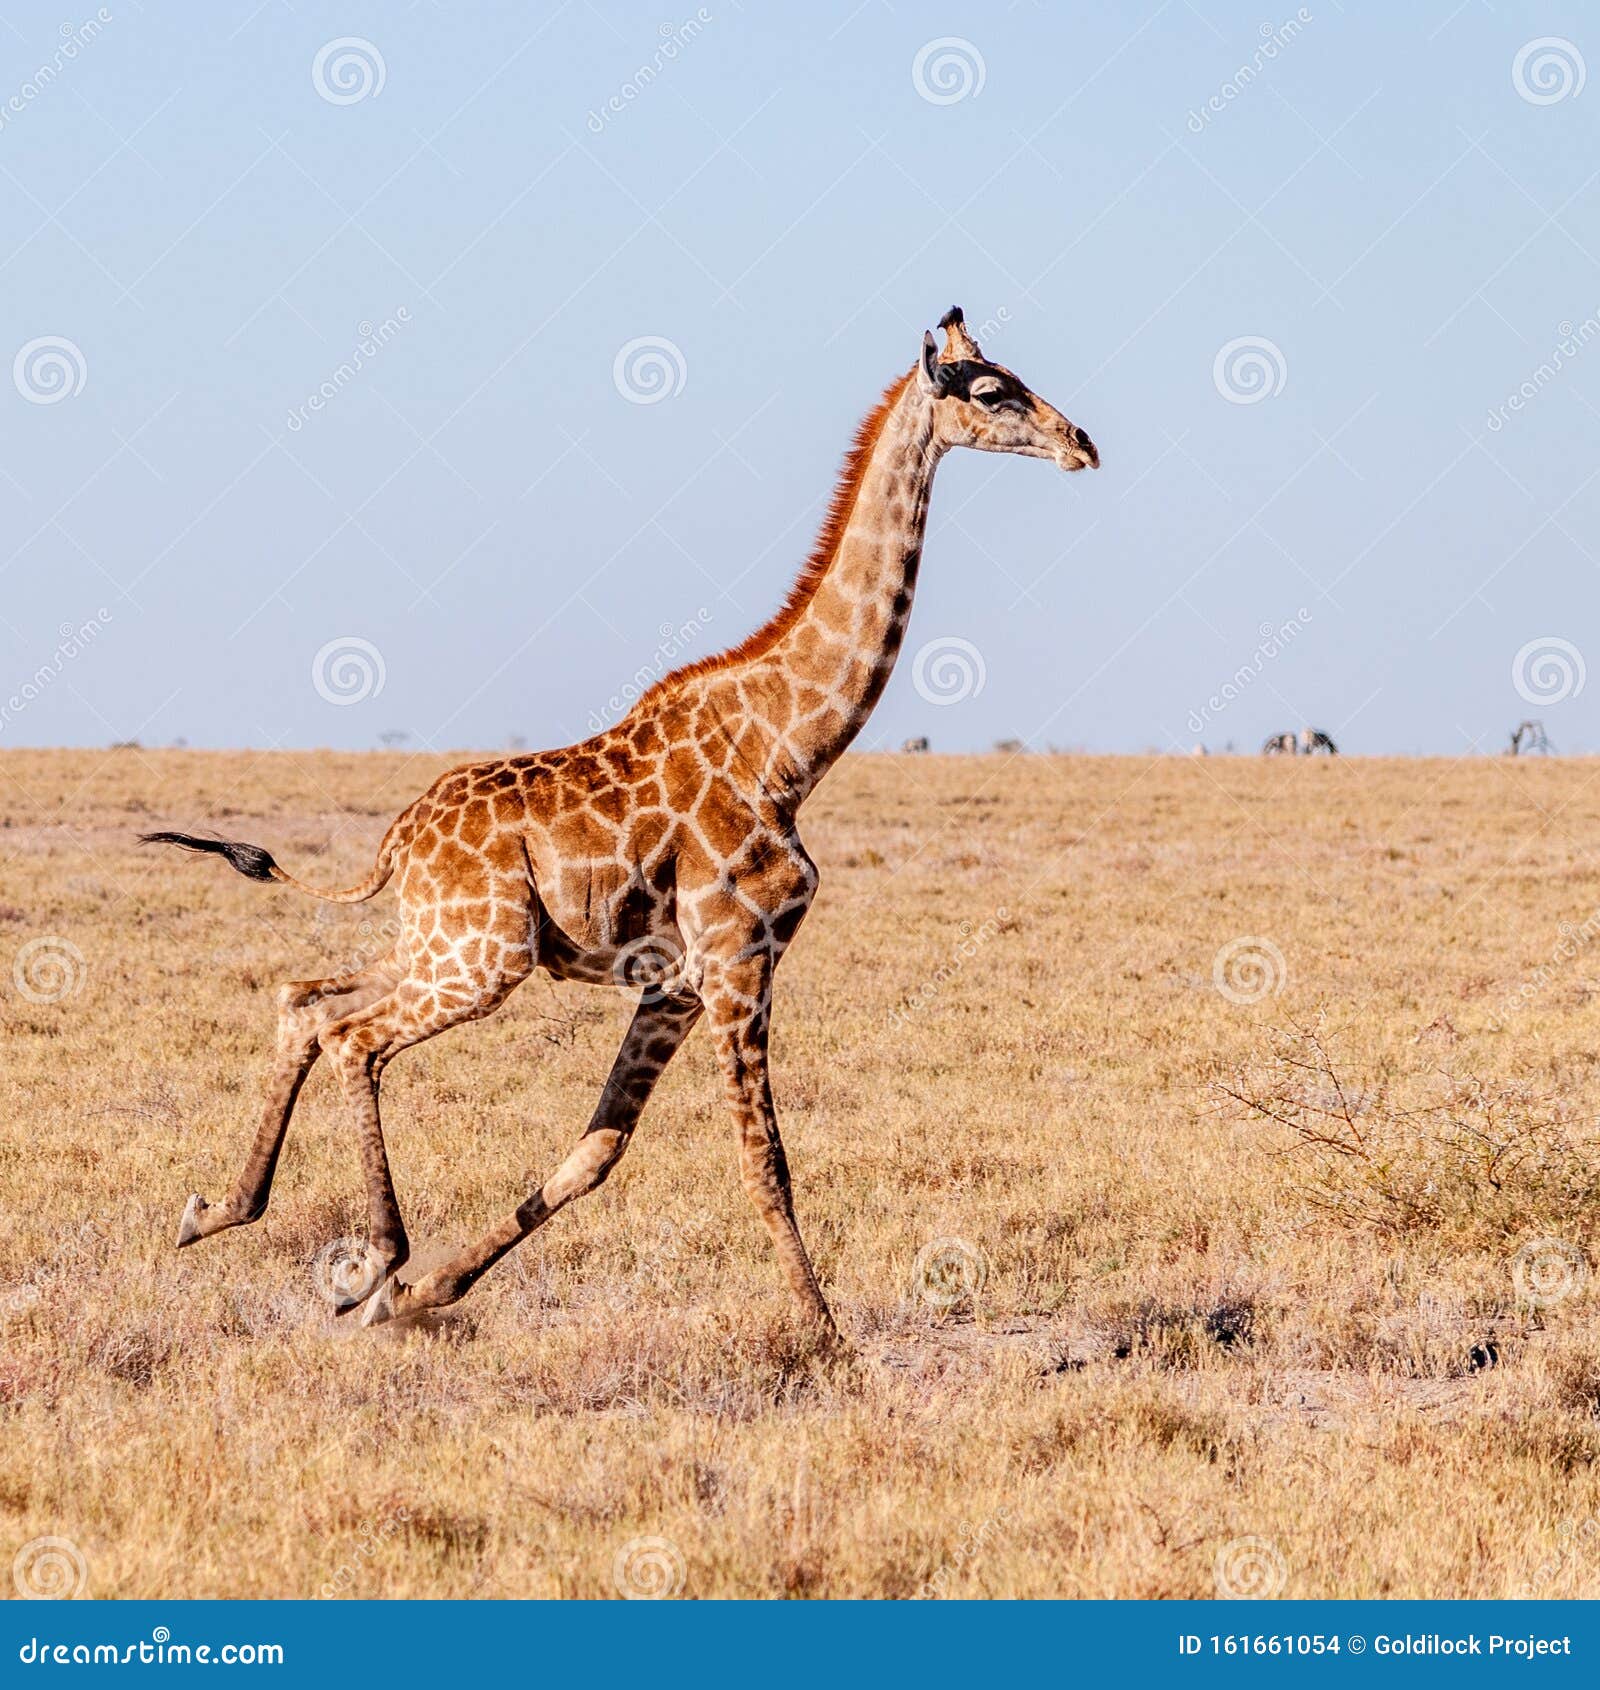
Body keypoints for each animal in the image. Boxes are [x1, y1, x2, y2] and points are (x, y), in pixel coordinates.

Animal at [143, 307, 1099, 1335]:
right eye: (993, 391)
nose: (1082, 443)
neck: (790, 750)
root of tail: (399, 840)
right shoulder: (736, 958)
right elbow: (765, 1162)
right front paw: (826, 1338)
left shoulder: (676, 980)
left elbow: (596, 1151)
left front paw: (432, 1291)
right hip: (481, 960)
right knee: (355, 1036)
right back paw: (372, 1261)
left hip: (444, 942)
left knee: (308, 1002)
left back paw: (221, 1214)